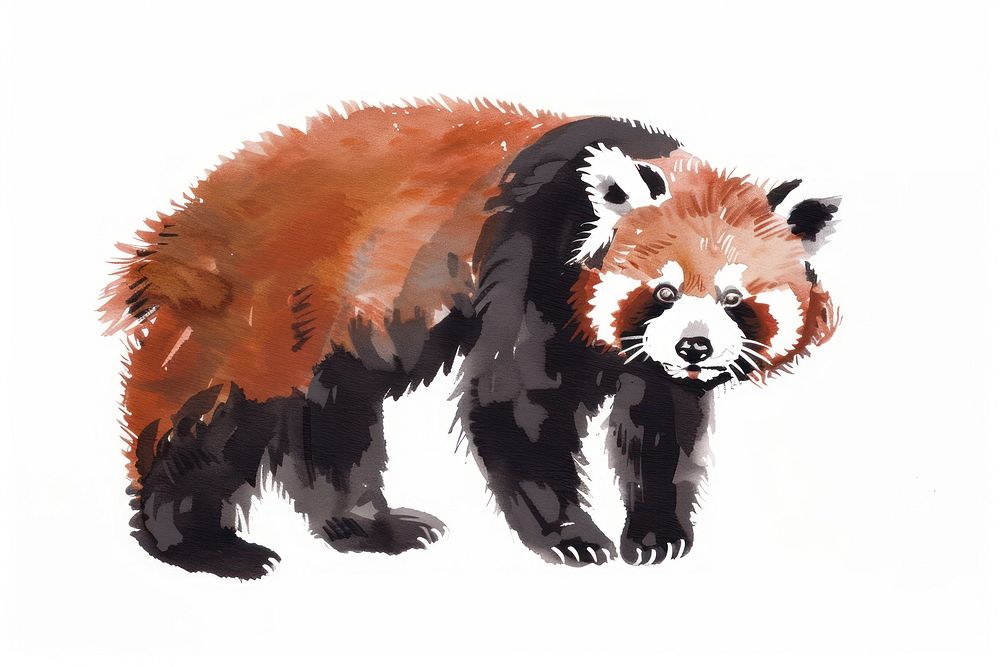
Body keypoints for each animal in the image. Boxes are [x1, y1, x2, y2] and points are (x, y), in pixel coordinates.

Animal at [100, 97, 839, 578]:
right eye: (661, 292)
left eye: (735, 301)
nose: (694, 347)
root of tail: (194, 215)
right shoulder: (532, 256)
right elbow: (517, 401)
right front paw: (570, 535)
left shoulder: (647, 362)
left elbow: (660, 423)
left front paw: (658, 530)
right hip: (264, 312)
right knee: (218, 421)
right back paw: (197, 544)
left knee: (333, 417)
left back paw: (366, 527)